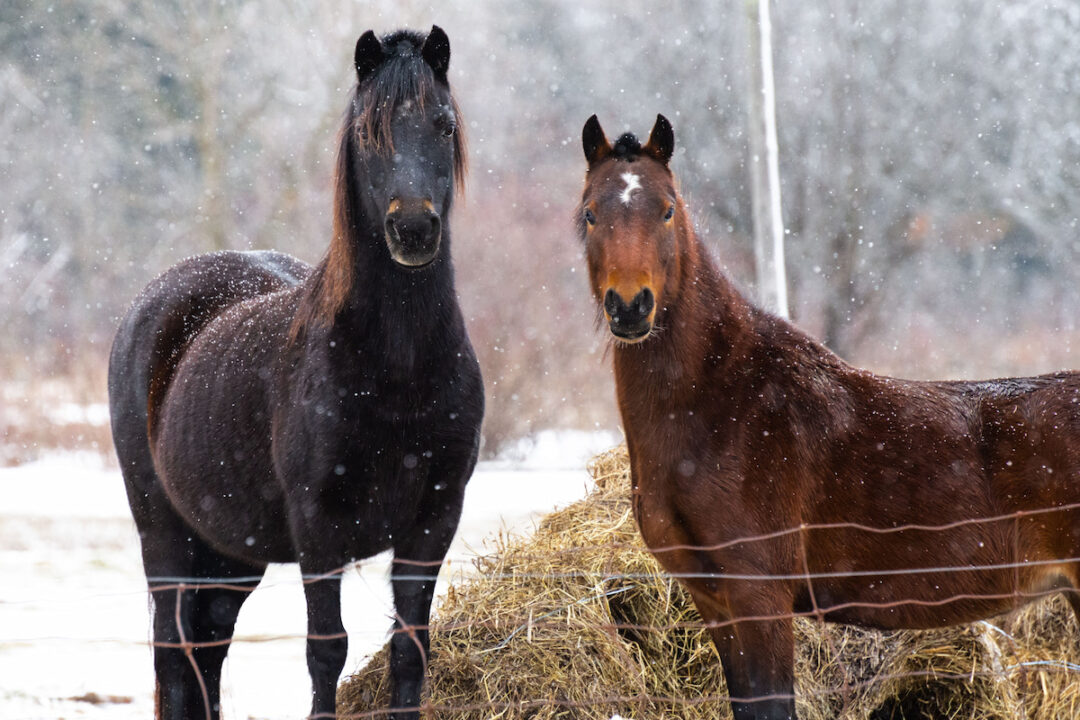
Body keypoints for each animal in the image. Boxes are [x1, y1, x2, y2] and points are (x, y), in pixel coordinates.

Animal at [108, 26, 482, 720]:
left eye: (443, 125)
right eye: (367, 130)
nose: (414, 228)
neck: (398, 369)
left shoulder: (435, 518)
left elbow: (409, 650)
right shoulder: (320, 526)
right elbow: (326, 650)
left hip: (229, 554)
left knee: (208, 648)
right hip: (164, 536)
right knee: (174, 656)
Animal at [578, 113, 1080, 720]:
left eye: (668, 209)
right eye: (590, 212)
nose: (631, 307)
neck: (723, 403)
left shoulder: (760, 596)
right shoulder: (715, 601)